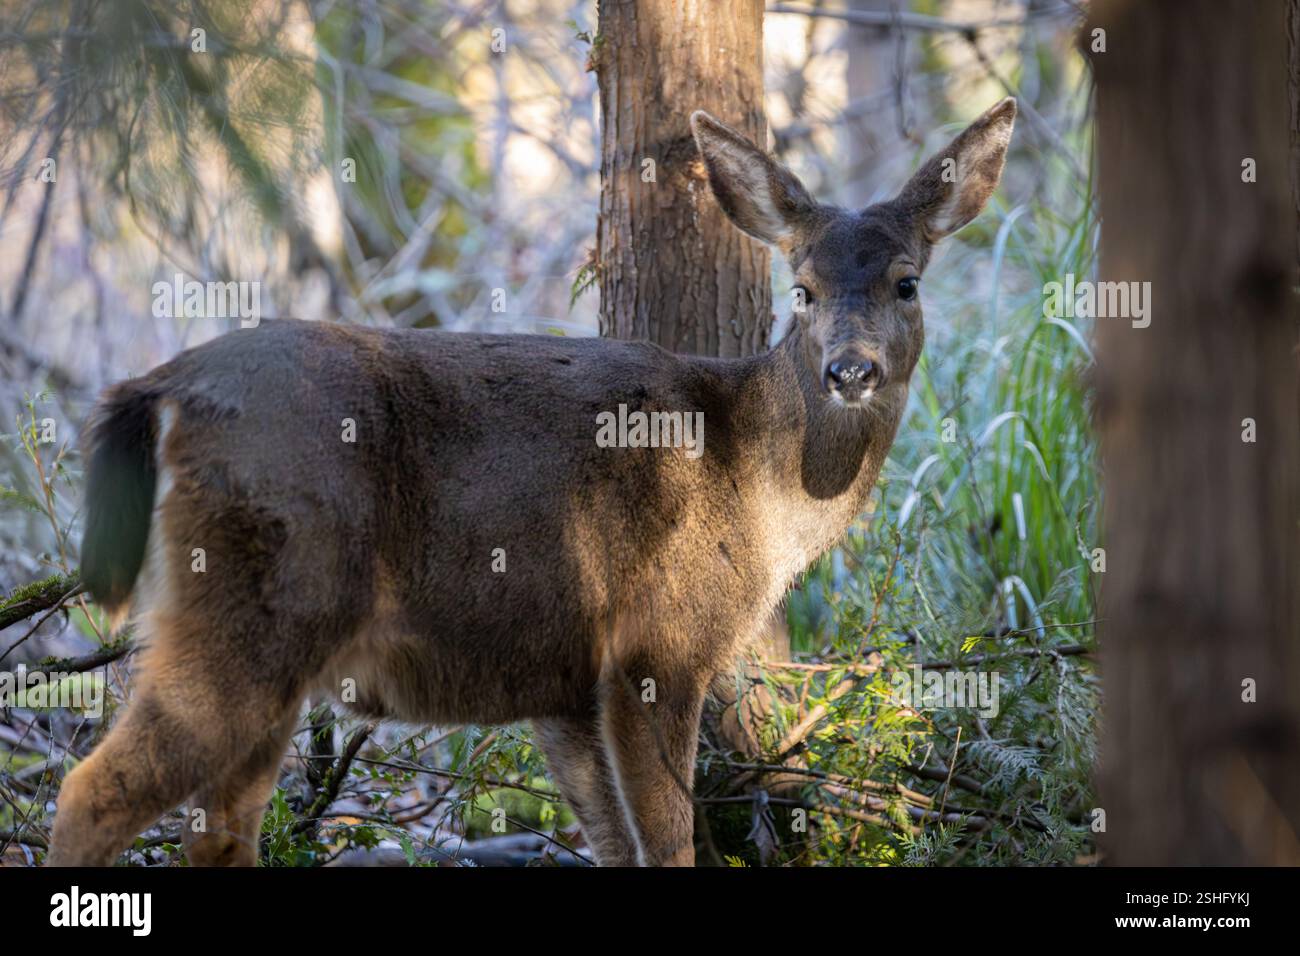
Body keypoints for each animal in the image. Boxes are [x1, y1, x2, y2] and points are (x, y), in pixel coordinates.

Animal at [47, 98, 1015, 867]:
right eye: (803, 289)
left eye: (907, 282)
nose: (850, 370)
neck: (753, 483)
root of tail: (163, 385)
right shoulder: (655, 644)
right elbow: (669, 843)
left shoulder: (563, 688)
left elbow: (617, 846)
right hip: (258, 600)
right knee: (93, 790)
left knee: (216, 829)